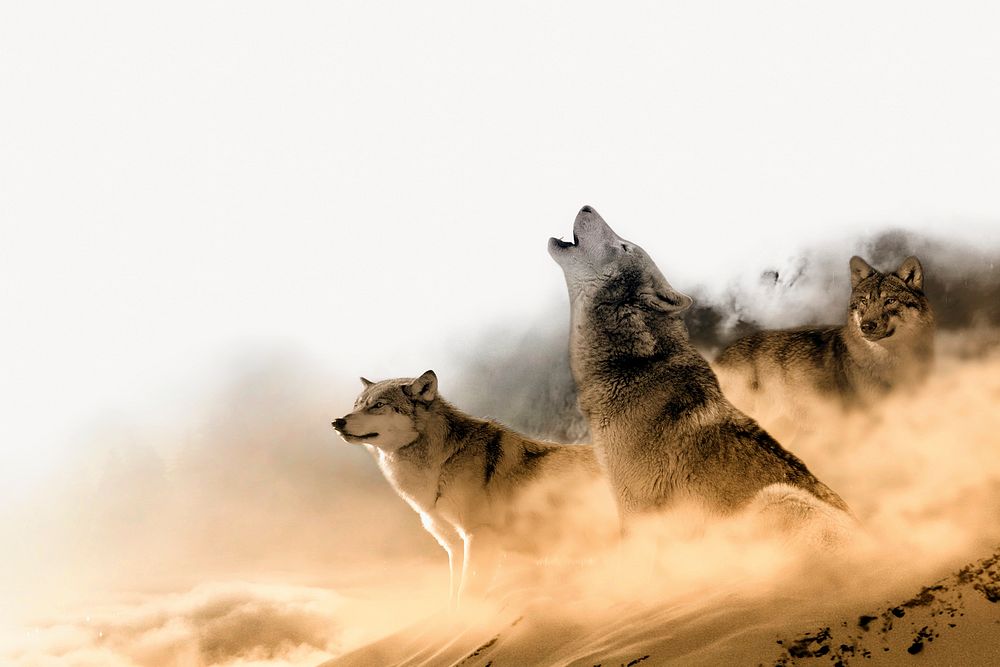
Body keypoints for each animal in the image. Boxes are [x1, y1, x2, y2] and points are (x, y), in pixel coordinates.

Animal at [331, 370, 615, 607]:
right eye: (357, 405)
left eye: (378, 405)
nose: (337, 422)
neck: (441, 464)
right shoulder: (454, 547)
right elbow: (453, 596)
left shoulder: (478, 537)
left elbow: (468, 593)